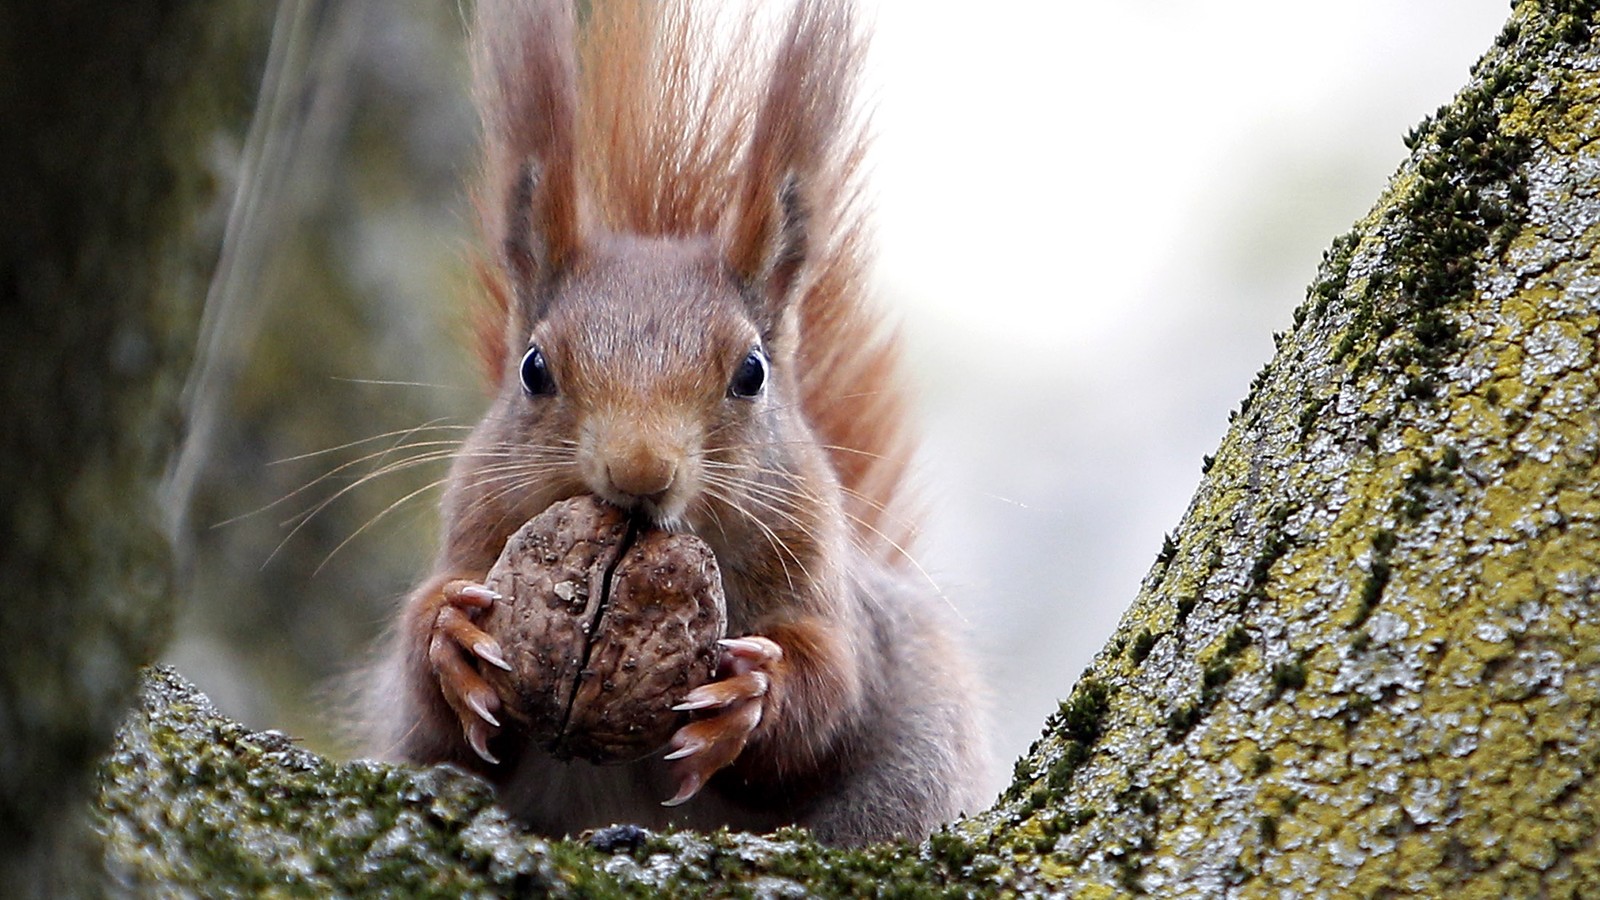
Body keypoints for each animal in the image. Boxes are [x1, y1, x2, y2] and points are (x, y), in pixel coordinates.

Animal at [361, 0, 989, 847]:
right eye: (533, 369)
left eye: (752, 373)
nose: (640, 471)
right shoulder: (472, 533)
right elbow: (433, 713)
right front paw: (449, 640)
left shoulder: (828, 592)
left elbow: (831, 692)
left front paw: (750, 695)